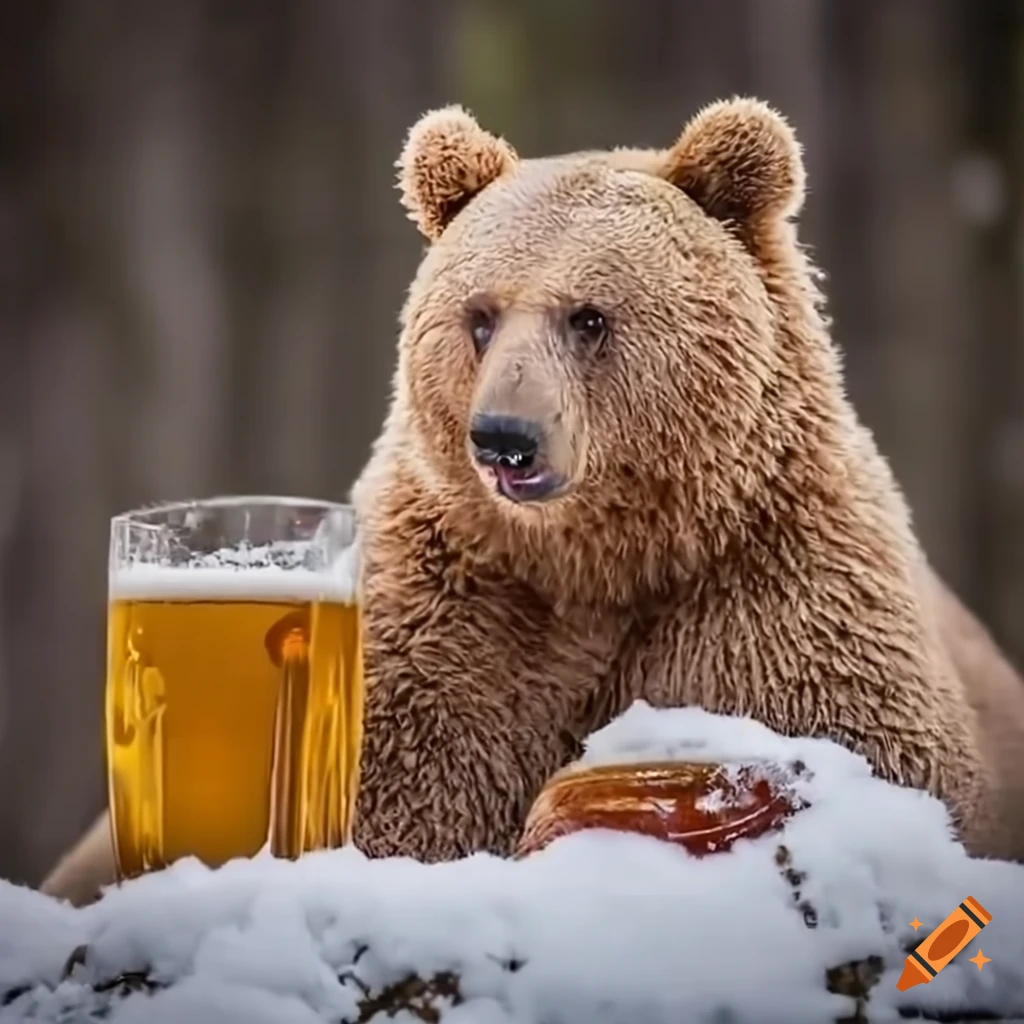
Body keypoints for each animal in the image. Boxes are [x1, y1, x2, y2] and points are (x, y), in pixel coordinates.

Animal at [40, 97, 1024, 906]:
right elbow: (402, 793)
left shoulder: (766, 597)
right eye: (478, 316)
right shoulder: (456, 619)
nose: (504, 437)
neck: (598, 562)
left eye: (588, 316)